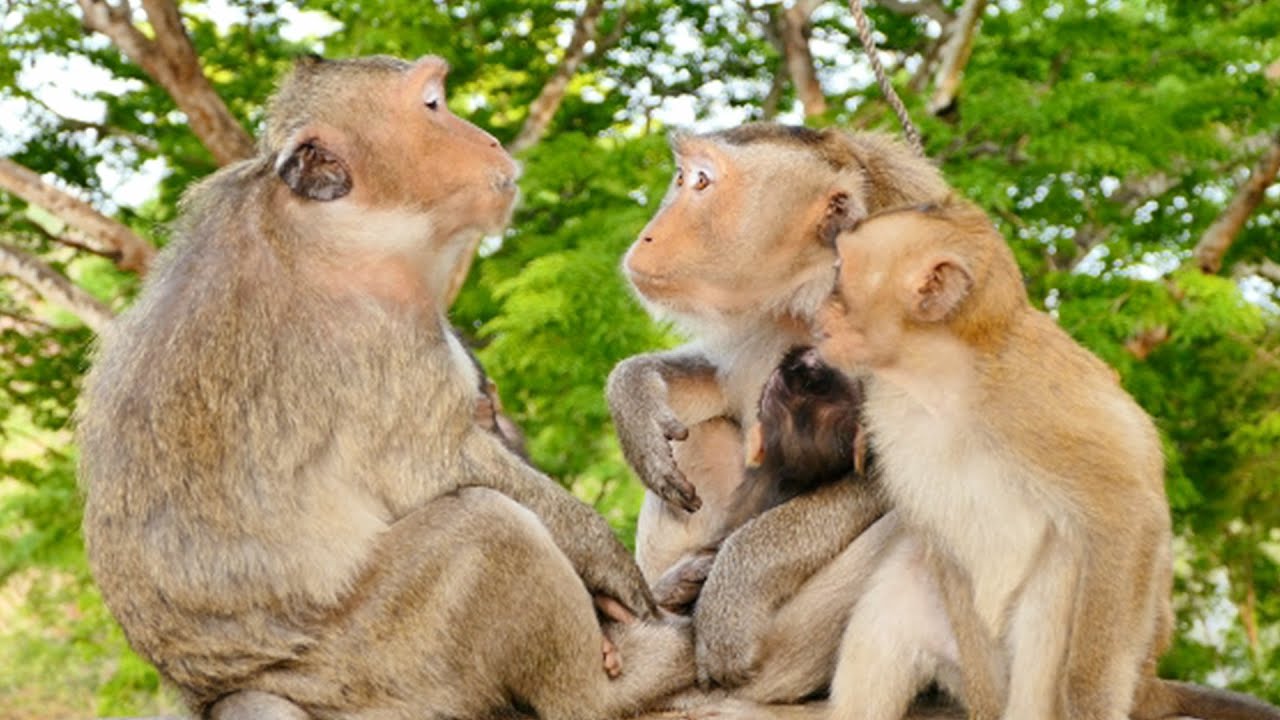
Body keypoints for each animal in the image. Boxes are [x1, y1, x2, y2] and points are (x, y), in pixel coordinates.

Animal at [76, 54, 694, 720]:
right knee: (487, 530)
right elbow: (438, 465)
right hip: (376, 666)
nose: (490, 139)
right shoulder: (378, 334)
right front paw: (605, 560)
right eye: (432, 106)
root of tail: (209, 692)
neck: (326, 230)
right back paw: (612, 685)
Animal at [607, 123, 951, 696]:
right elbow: (714, 388)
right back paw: (667, 595)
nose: (648, 236)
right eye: (682, 178)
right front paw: (633, 398)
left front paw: (736, 587)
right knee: (703, 433)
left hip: (790, 650)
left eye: (701, 182)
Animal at [816, 198, 1280, 720]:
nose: (821, 306)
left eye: (840, 271)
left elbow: (1127, 514)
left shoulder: (1029, 401)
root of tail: (1149, 682)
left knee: (1065, 560)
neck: (938, 382)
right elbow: (943, 548)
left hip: (1132, 653)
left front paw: (1091, 702)